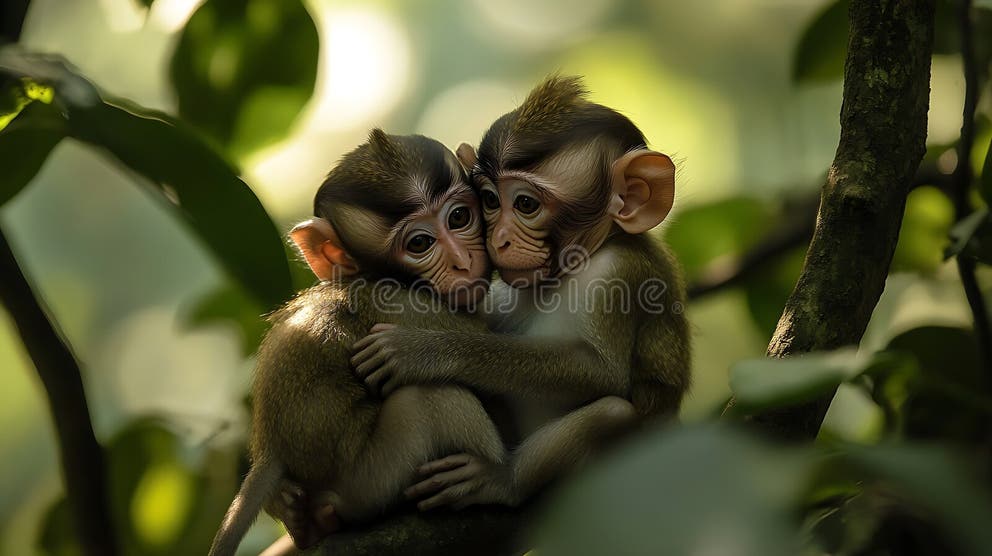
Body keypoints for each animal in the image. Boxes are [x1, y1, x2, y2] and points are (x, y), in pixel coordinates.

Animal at [208, 130, 510, 556]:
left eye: (458, 218)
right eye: (419, 243)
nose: (463, 261)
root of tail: (271, 450)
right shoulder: (404, 304)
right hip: (367, 481)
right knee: (431, 397)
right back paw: (498, 478)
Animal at [350, 75, 691, 510]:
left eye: (526, 204)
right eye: (490, 200)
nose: (500, 239)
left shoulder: (620, 274)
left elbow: (603, 371)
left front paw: (424, 350)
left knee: (613, 413)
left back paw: (501, 481)